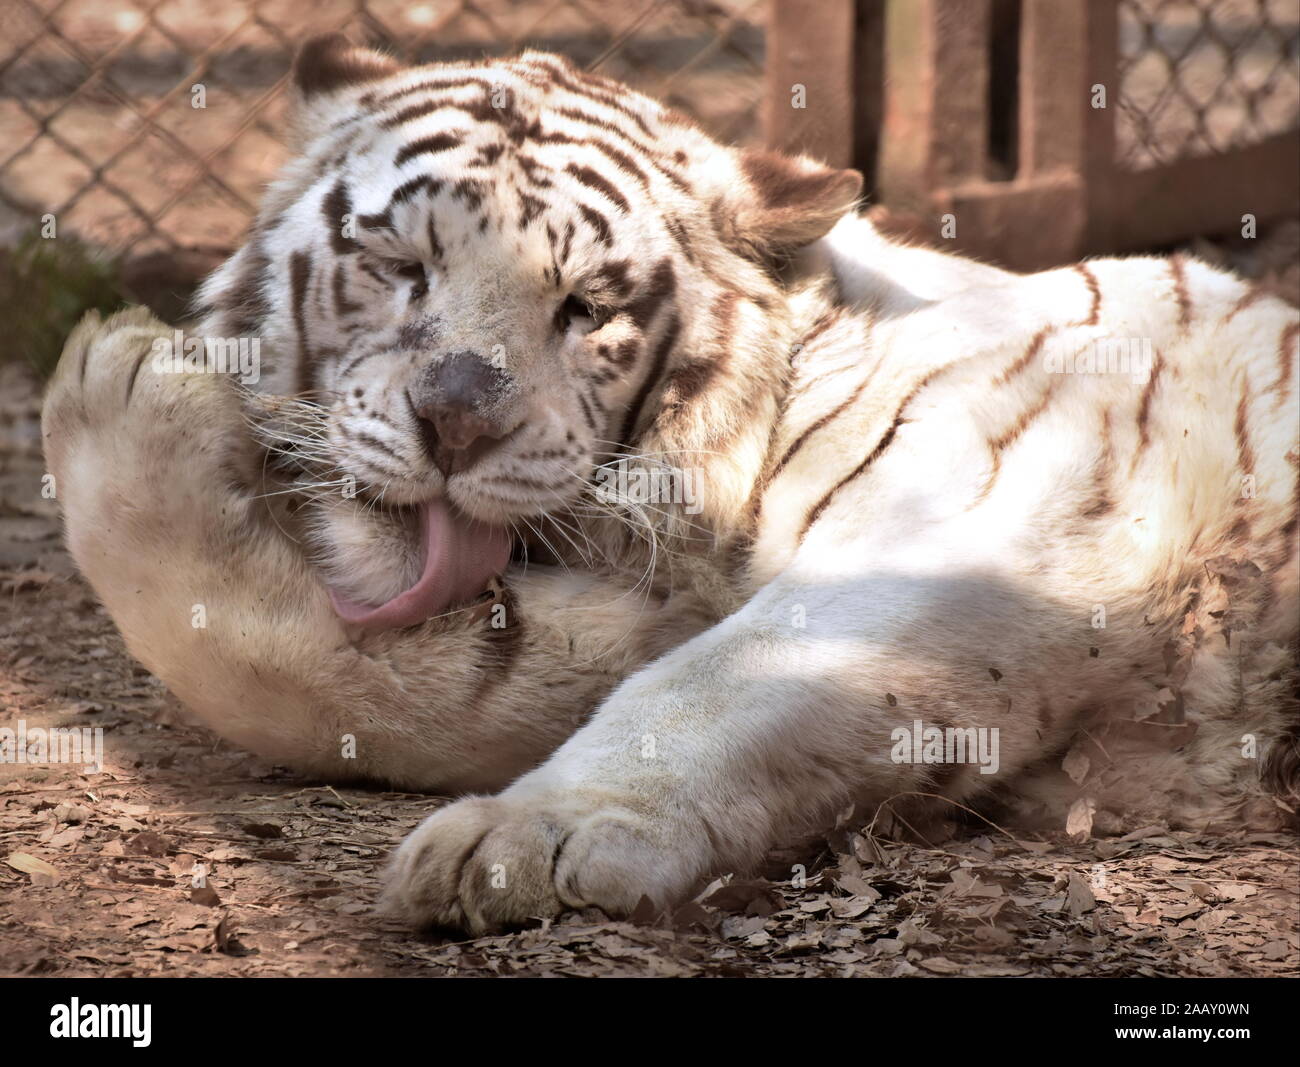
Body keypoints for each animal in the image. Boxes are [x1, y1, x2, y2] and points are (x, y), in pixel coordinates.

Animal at [41, 33, 1299, 934]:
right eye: (400, 265)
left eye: (586, 305)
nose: (455, 419)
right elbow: (403, 687)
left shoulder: (1004, 525)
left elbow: (712, 684)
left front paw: (524, 837)